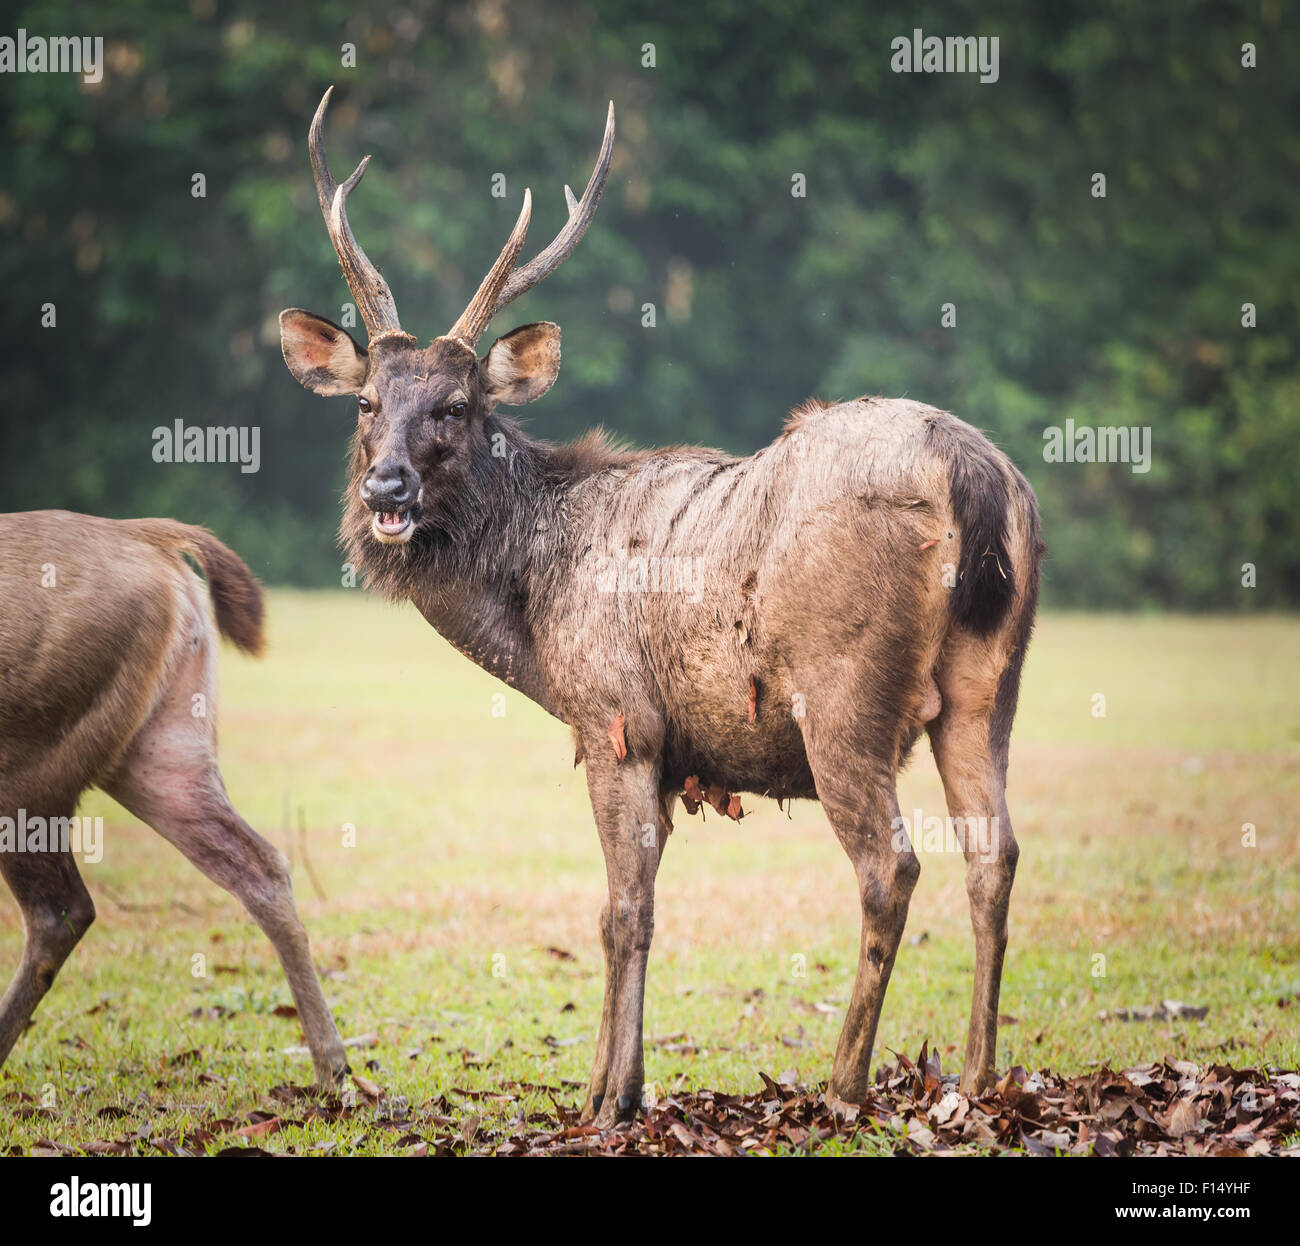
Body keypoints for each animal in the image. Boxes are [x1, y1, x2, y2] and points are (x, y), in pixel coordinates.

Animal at [0, 513, 348, 1087]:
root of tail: (147, 534)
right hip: (161, 746)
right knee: (260, 863)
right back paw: (334, 1068)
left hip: (29, 761)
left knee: (60, 909)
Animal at [279, 87, 1043, 1129]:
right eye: (364, 403)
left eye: (456, 406)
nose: (385, 488)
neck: (534, 614)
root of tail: (972, 473)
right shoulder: (675, 749)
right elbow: (640, 907)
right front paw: (620, 1083)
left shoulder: (617, 719)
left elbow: (619, 911)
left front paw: (605, 1098)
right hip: (989, 688)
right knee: (994, 854)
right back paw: (975, 1080)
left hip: (842, 691)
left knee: (892, 867)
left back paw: (843, 1084)